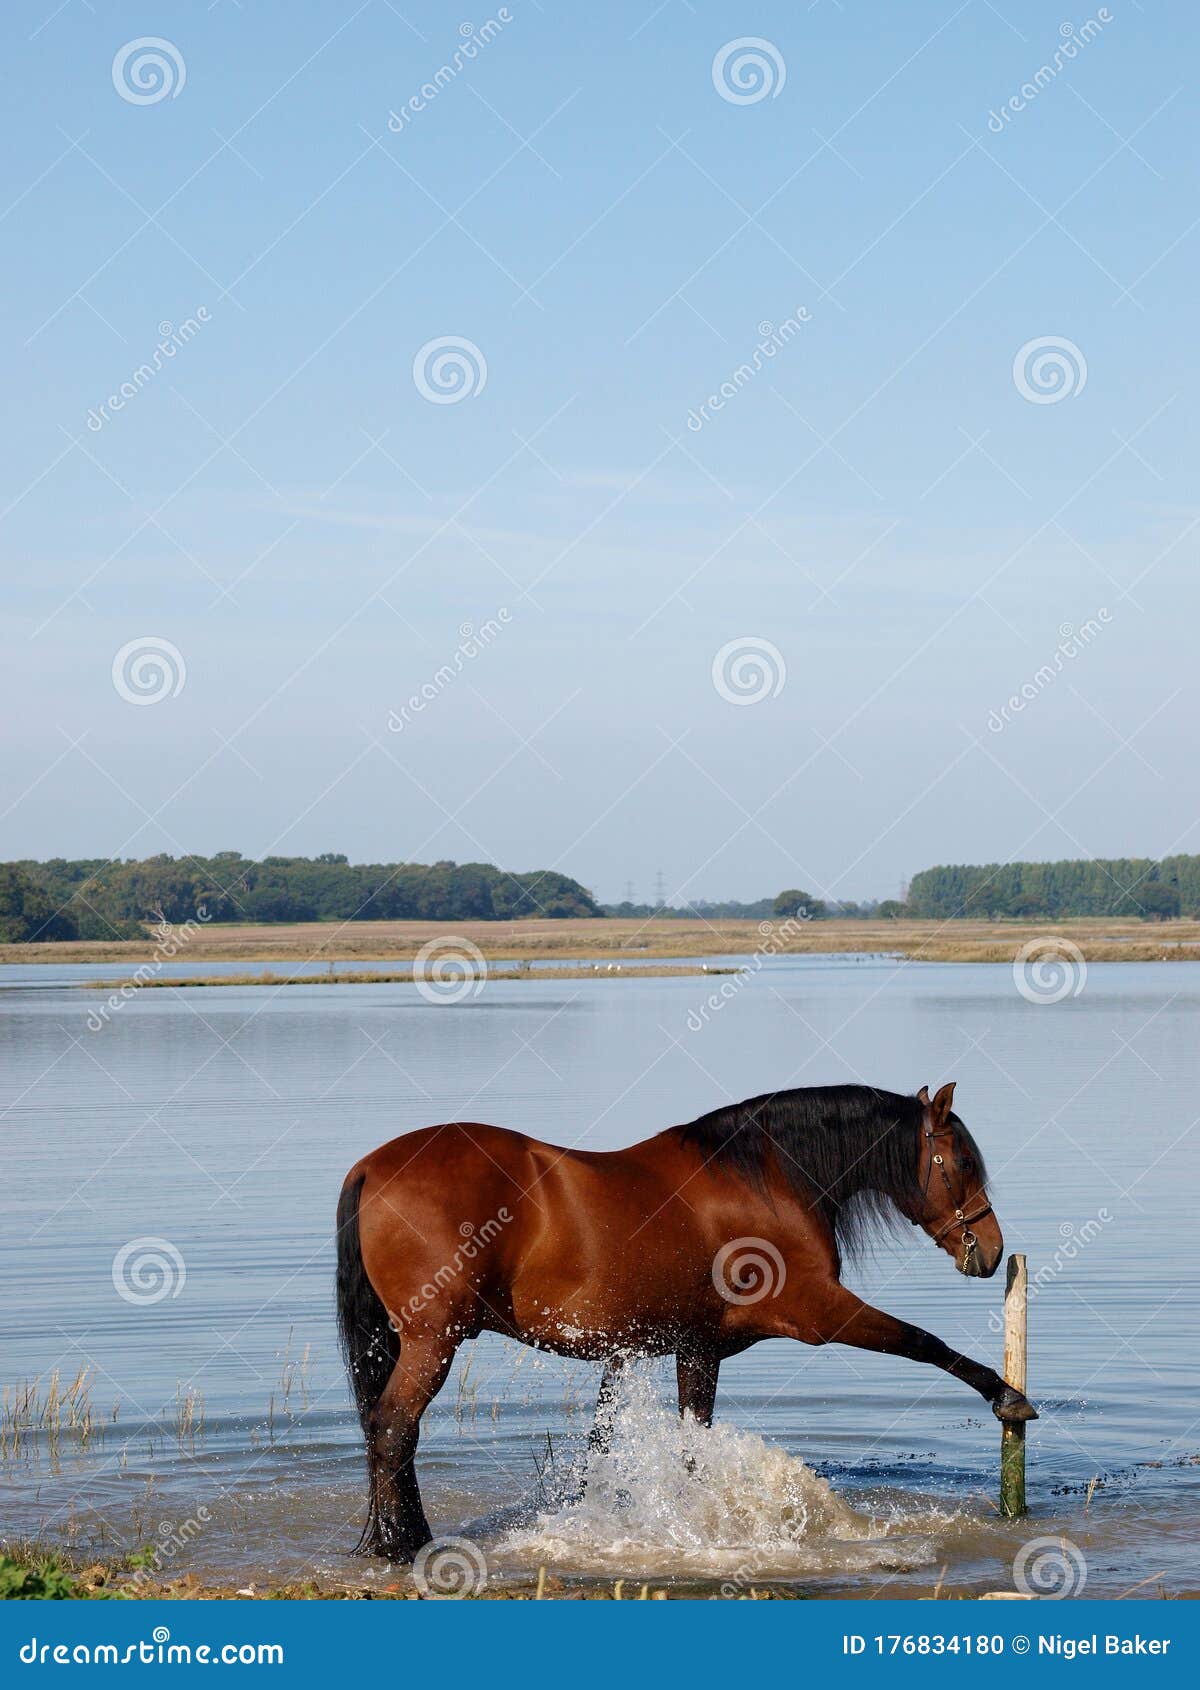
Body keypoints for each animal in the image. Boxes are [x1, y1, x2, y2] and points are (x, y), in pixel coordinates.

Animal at [335, 1079, 1036, 1561]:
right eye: (963, 1164)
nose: (991, 1249)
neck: (766, 1181)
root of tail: (370, 1167)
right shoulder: (822, 1313)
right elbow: (924, 1341)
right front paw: (1007, 1397)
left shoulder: (696, 1348)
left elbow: (687, 1447)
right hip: (433, 1341)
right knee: (393, 1427)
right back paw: (403, 1543)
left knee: (383, 1429)